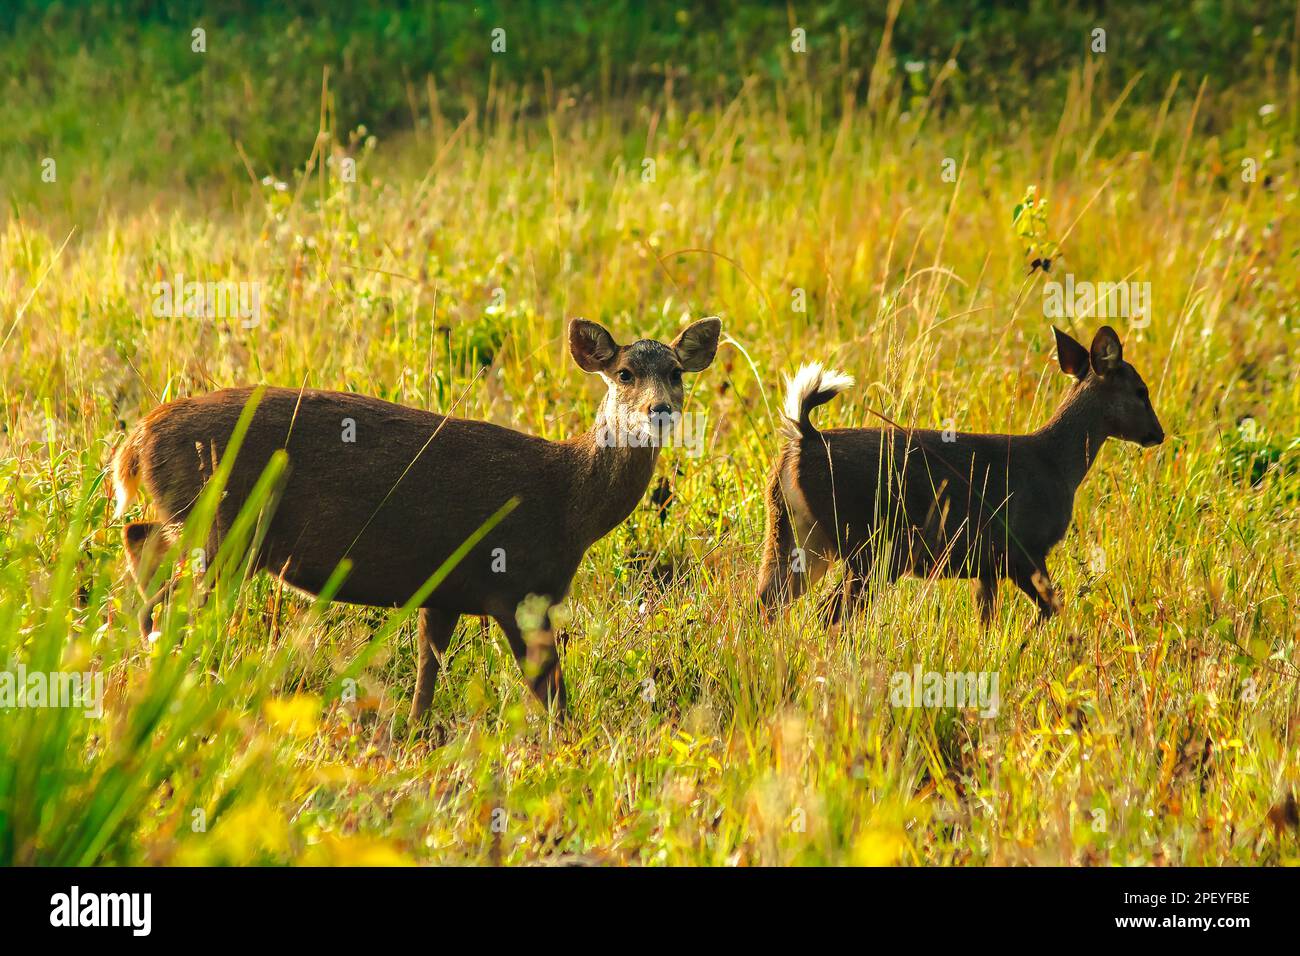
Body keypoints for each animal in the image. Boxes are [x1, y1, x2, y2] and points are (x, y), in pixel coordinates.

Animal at [112, 317, 721, 724]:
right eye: (624, 372)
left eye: (675, 372)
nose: (660, 410)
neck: (571, 502)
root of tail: (137, 441)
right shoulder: (518, 585)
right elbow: (549, 691)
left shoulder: (447, 590)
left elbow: (430, 665)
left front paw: (416, 730)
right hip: (224, 526)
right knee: (165, 587)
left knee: (138, 537)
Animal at [756, 325, 1164, 624]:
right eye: (1141, 391)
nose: (1158, 434)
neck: (1058, 464)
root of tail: (803, 438)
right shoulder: (1023, 548)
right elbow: (1051, 607)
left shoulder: (986, 564)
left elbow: (988, 618)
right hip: (870, 544)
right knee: (829, 612)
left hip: (795, 531)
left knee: (768, 600)